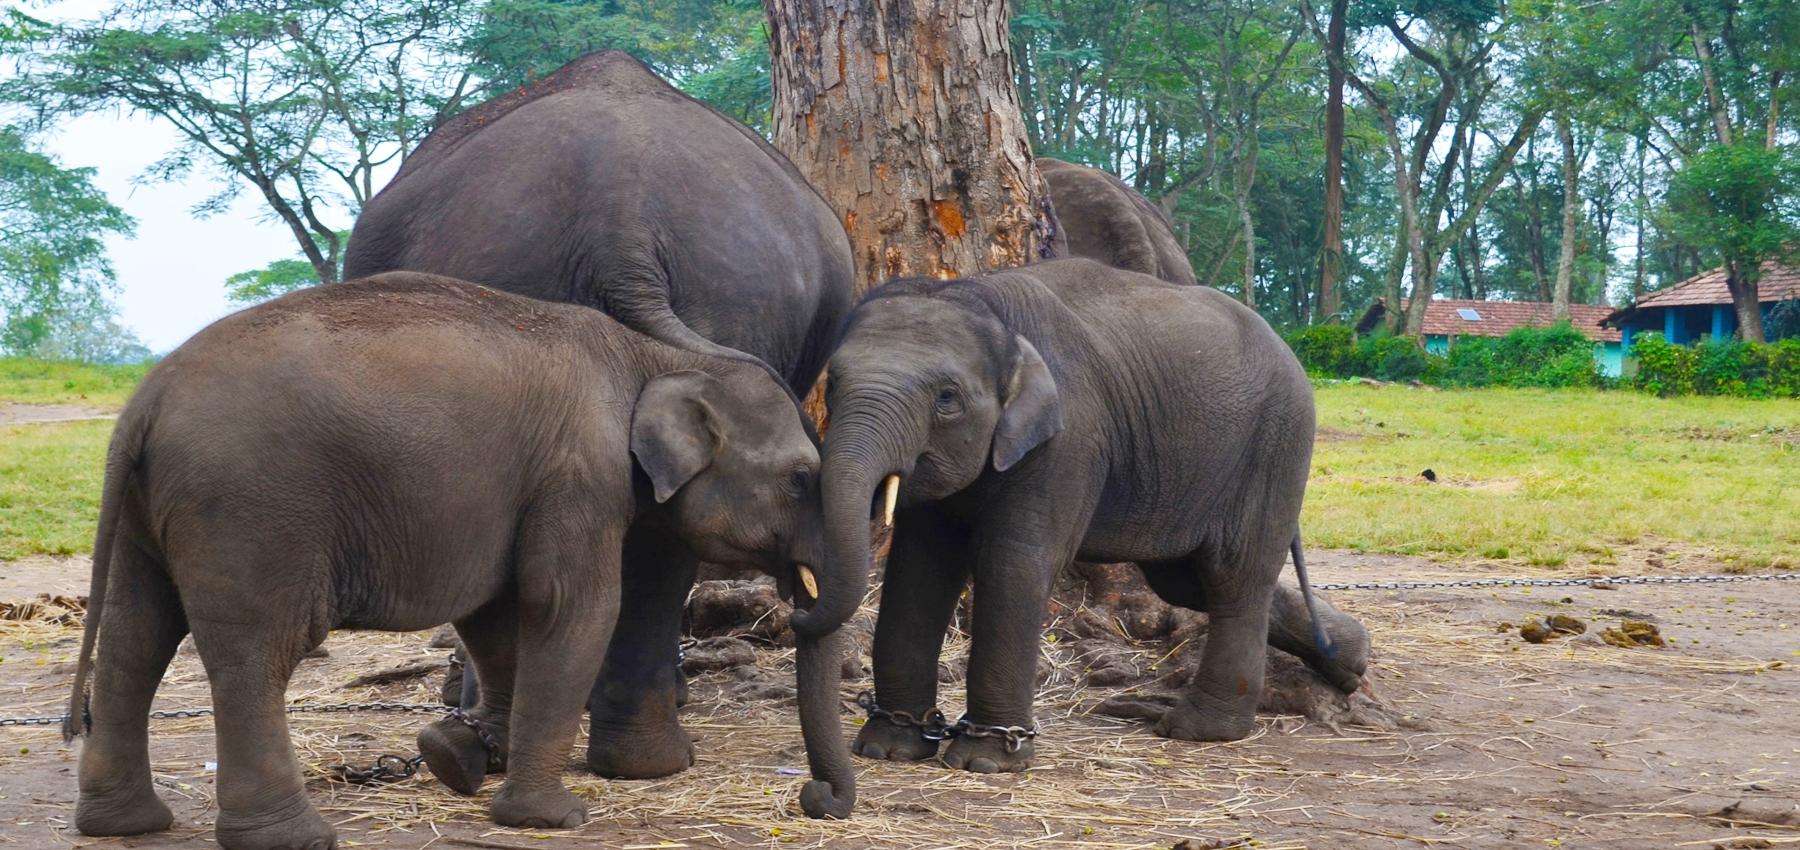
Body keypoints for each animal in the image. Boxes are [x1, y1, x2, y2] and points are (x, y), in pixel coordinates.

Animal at [63, 273, 856, 850]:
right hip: (250, 508)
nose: (816, 799)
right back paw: (291, 838)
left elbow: (497, 615)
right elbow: (571, 609)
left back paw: (124, 825)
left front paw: (459, 758)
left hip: (147, 515)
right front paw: (550, 818)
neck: (657, 358)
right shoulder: (579, 473)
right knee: (257, 651)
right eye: (800, 479)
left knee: (136, 638)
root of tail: (146, 401)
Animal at [810, 258, 1369, 775]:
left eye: (947, 398)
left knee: (1233, 577)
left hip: (1277, 444)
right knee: (1188, 581)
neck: (982, 301)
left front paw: (987, 761)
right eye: (832, 385)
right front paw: (888, 748)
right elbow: (919, 568)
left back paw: (1198, 730)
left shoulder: (1070, 440)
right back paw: (1352, 659)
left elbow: (1014, 565)